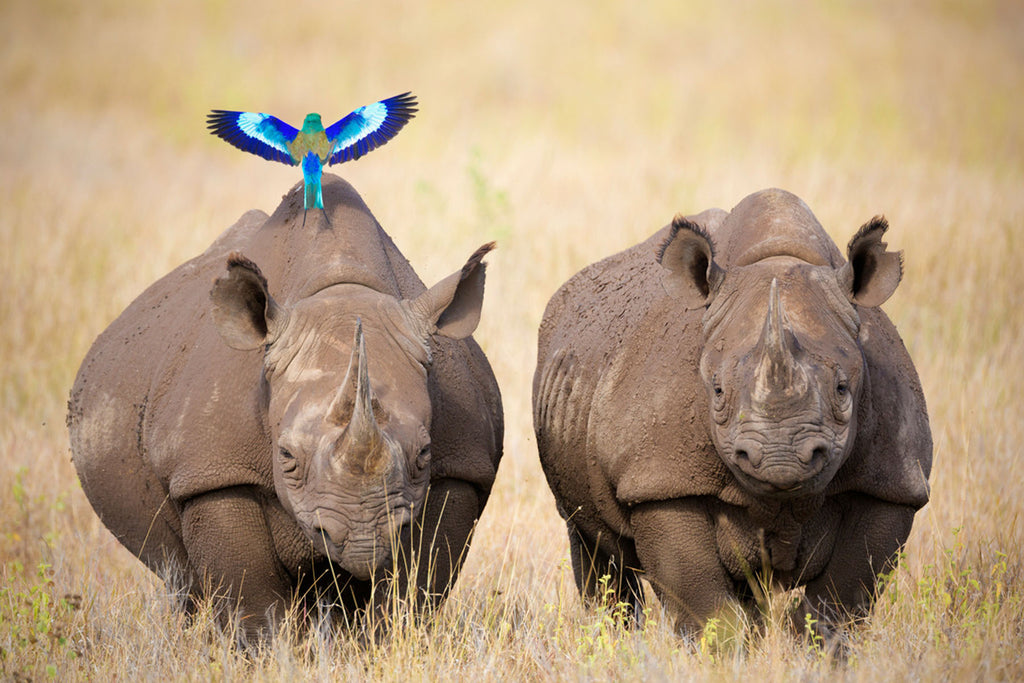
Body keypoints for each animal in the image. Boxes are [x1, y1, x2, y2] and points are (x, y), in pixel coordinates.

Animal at [68, 174, 503, 637]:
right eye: (286, 456)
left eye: (424, 453)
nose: (362, 539)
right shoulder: (212, 473)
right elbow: (251, 600)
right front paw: (272, 650)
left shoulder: (460, 466)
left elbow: (415, 588)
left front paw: (387, 642)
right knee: (180, 576)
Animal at [533, 189, 931, 633]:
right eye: (718, 391)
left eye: (843, 389)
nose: (780, 460)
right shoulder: (659, 483)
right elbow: (708, 610)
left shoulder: (894, 483)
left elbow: (837, 605)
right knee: (593, 548)